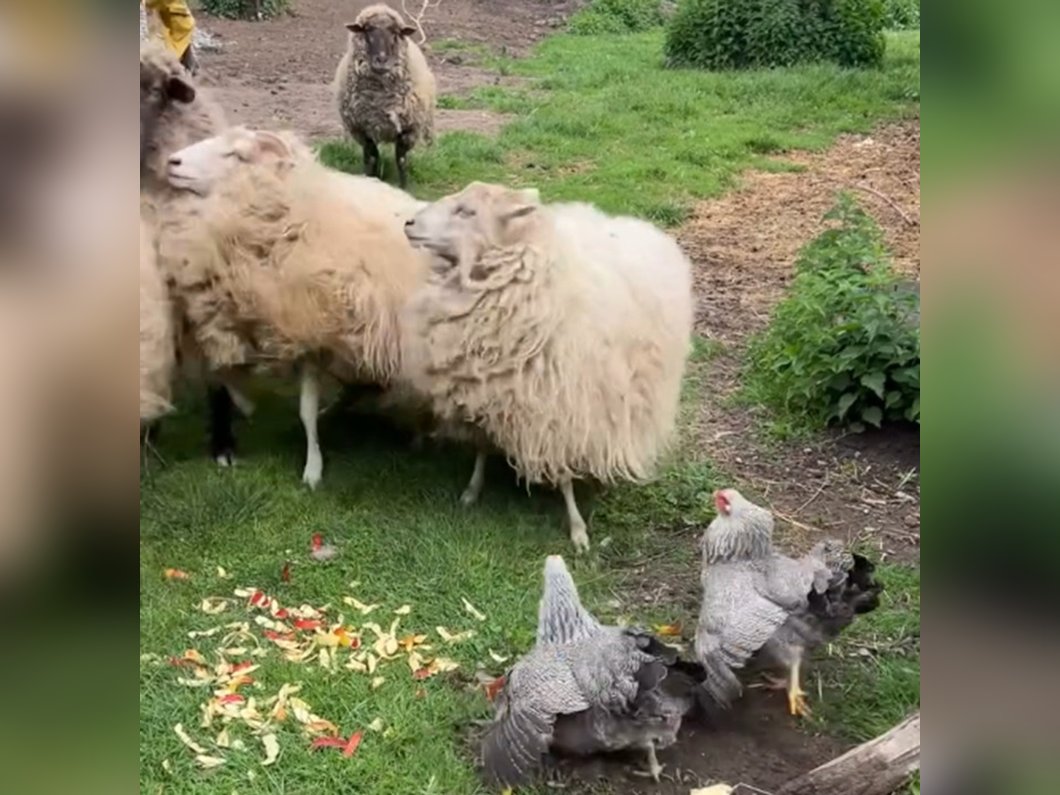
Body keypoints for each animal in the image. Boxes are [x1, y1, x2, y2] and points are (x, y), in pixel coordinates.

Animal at [158, 126, 430, 488]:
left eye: (237, 155)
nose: (172, 161)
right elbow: (226, 369)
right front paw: (245, 405)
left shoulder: (310, 327)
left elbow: (305, 410)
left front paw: (312, 470)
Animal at [334, 3, 436, 188]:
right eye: (367, 29)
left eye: (395, 32)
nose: (381, 60)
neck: (379, 100)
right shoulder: (362, 129)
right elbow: (372, 158)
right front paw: (371, 179)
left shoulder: (408, 129)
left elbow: (401, 160)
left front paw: (403, 188)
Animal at [401, 182, 694, 551]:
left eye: (467, 211)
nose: (408, 224)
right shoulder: (485, 392)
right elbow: (482, 447)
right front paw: (472, 491)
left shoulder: (559, 412)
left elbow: (564, 476)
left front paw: (578, 529)